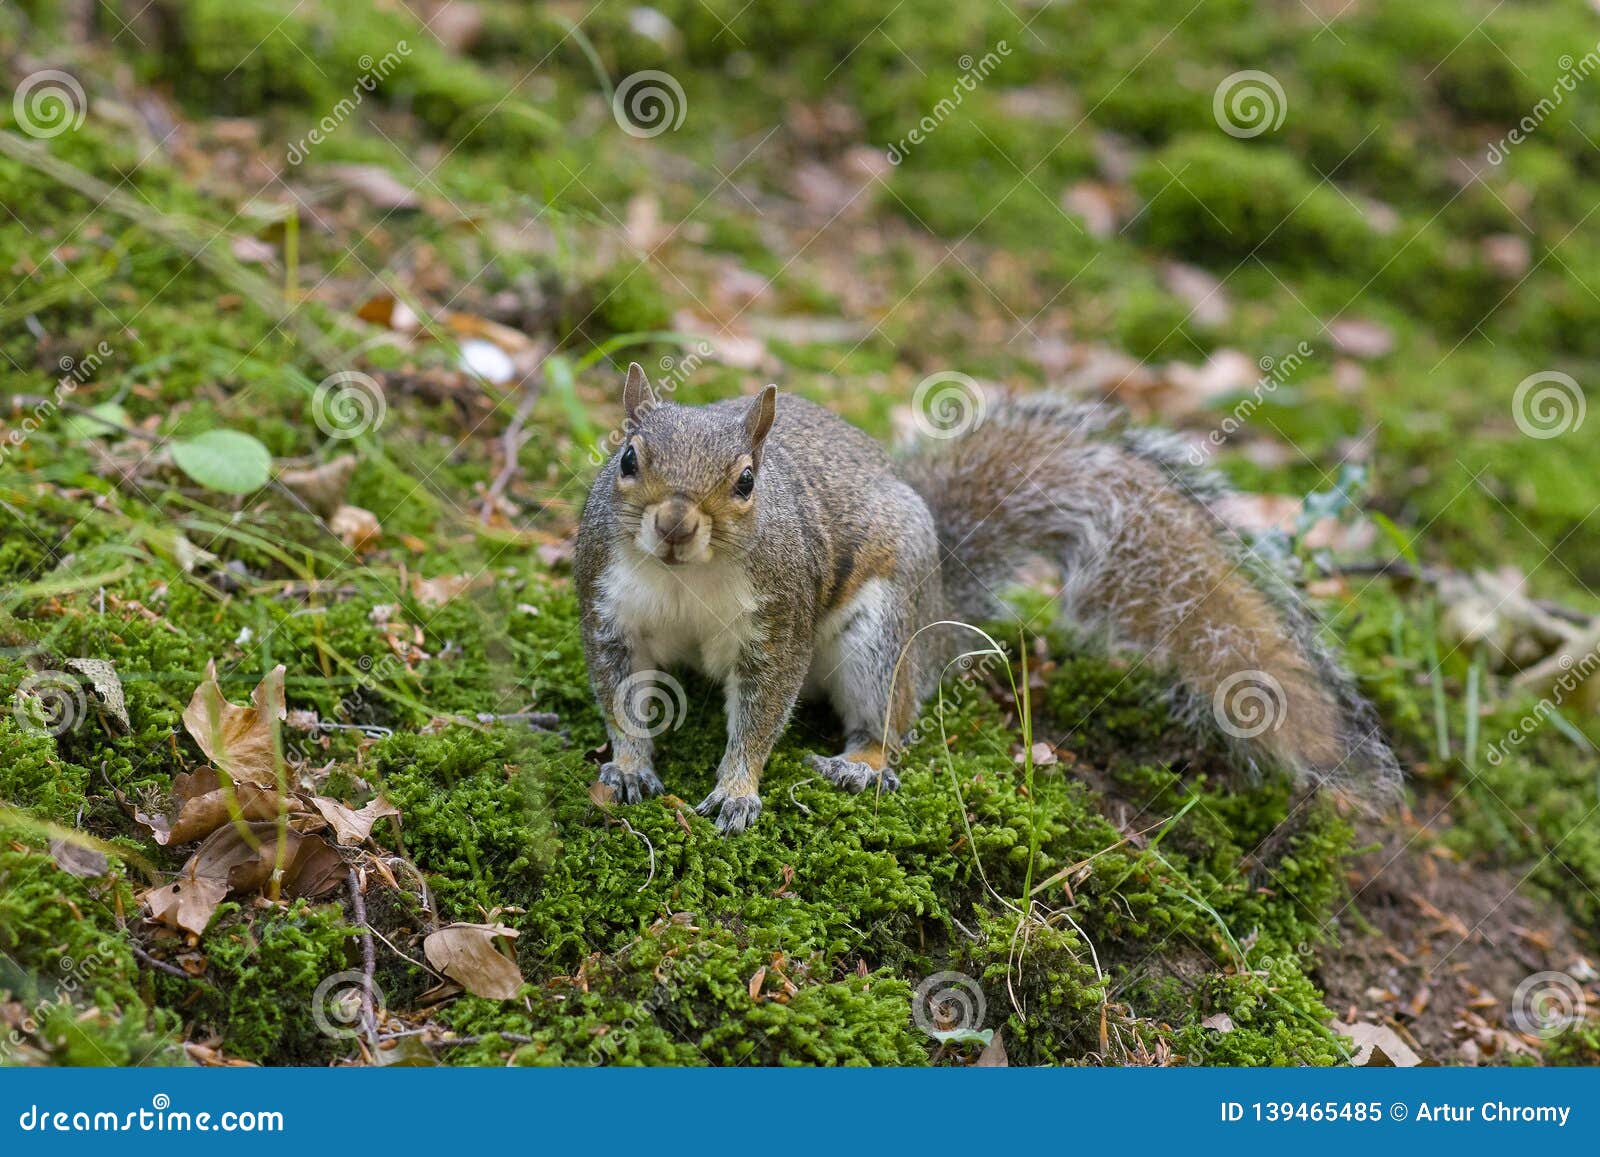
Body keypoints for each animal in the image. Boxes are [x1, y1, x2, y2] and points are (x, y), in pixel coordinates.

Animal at [575, 362, 1400, 835]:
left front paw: (739, 788)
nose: (675, 525)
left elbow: (760, 713)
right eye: (627, 458)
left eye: (747, 480)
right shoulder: (607, 604)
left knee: (893, 715)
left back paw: (863, 762)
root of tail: (939, 602)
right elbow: (621, 693)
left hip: (882, 634)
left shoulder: (780, 623)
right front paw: (630, 763)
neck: (687, 574)